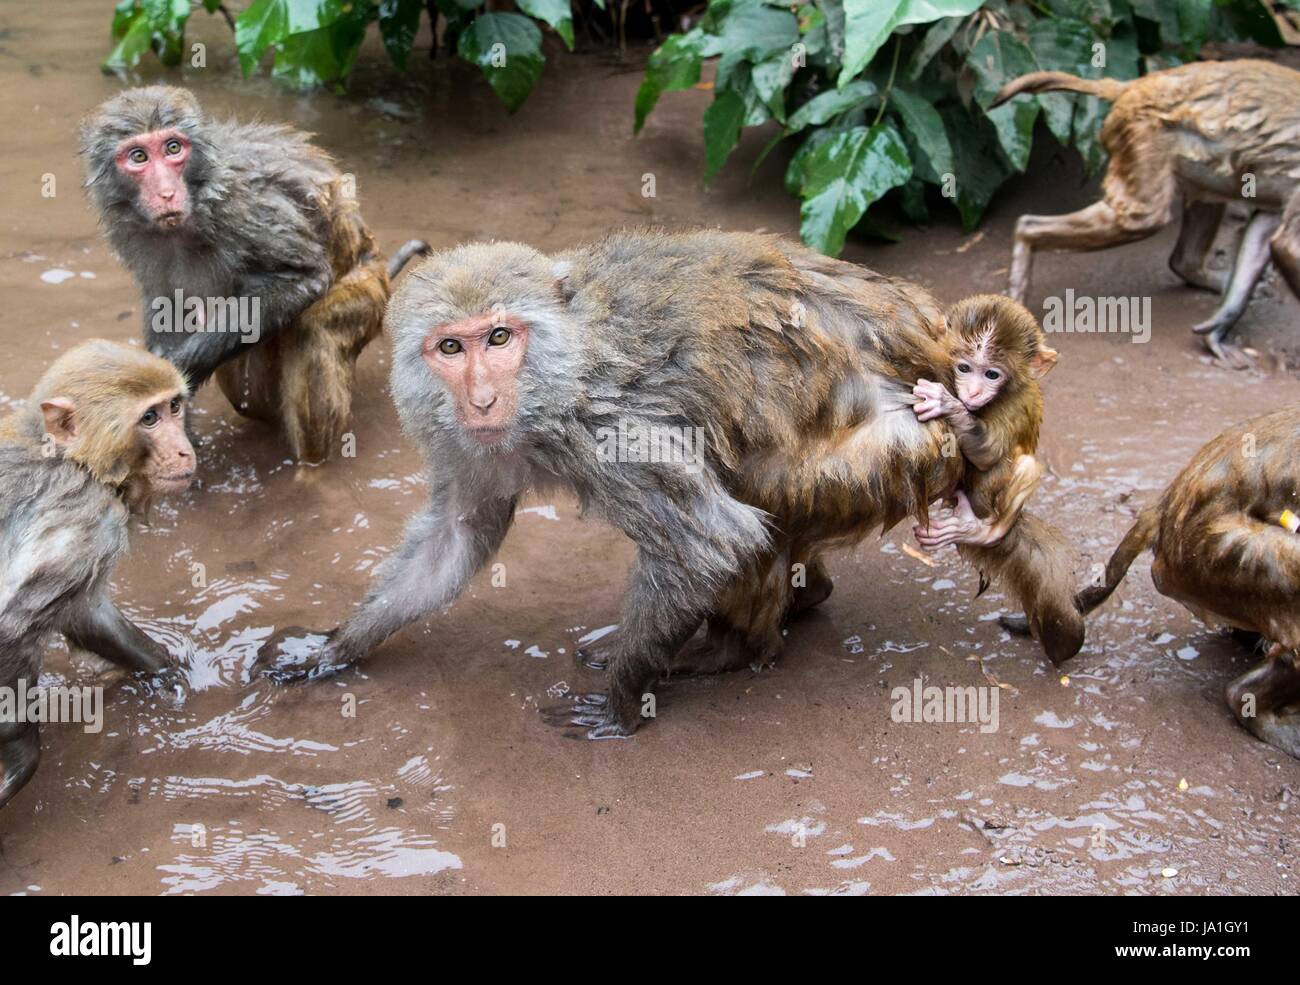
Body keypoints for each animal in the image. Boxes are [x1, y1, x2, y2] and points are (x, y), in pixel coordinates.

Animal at [0, 340, 195, 809]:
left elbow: (84, 613)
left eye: (174, 406)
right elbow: (13, 623)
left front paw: (162, 670)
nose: (185, 450)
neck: (75, 461)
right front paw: (20, 752)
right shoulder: (86, 519)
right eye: (149, 418)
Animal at [80, 86, 430, 463]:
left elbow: (302, 276)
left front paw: (180, 371)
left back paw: (310, 467)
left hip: (368, 288)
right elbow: (167, 305)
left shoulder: (246, 206)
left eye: (173, 148)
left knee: (313, 327)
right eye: (138, 157)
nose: (166, 193)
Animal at [909, 295, 1058, 555]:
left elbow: (989, 453)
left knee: (1024, 466)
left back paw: (983, 532)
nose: (973, 392)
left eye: (992, 374)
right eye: (964, 368)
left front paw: (946, 404)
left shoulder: (1014, 402)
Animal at [991, 60, 1300, 364]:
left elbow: (1267, 229)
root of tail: (1133, 86)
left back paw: (1196, 270)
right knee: (1141, 219)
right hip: (1142, 136)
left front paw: (1219, 327)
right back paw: (1026, 238)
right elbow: (1286, 246)